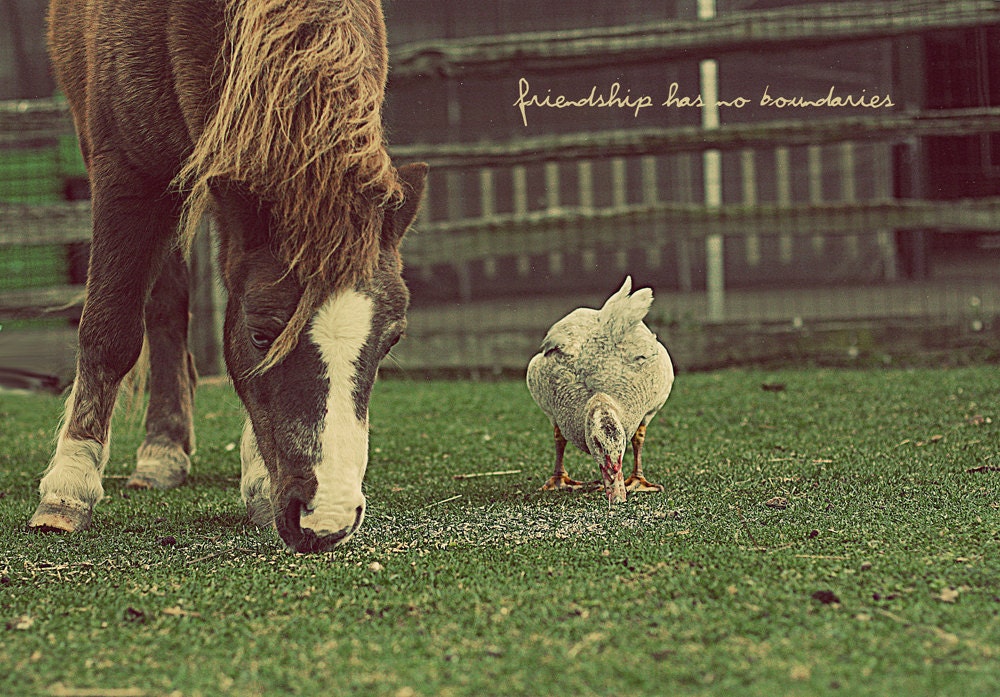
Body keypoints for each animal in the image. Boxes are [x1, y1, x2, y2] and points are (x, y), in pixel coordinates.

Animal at [28, 0, 427, 553]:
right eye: (261, 334)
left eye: (392, 339)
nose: (327, 520)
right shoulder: (128, 173)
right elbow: (110, 332)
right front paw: (68, 490)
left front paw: (258, 481)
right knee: (163, 302)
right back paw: (160, 450)